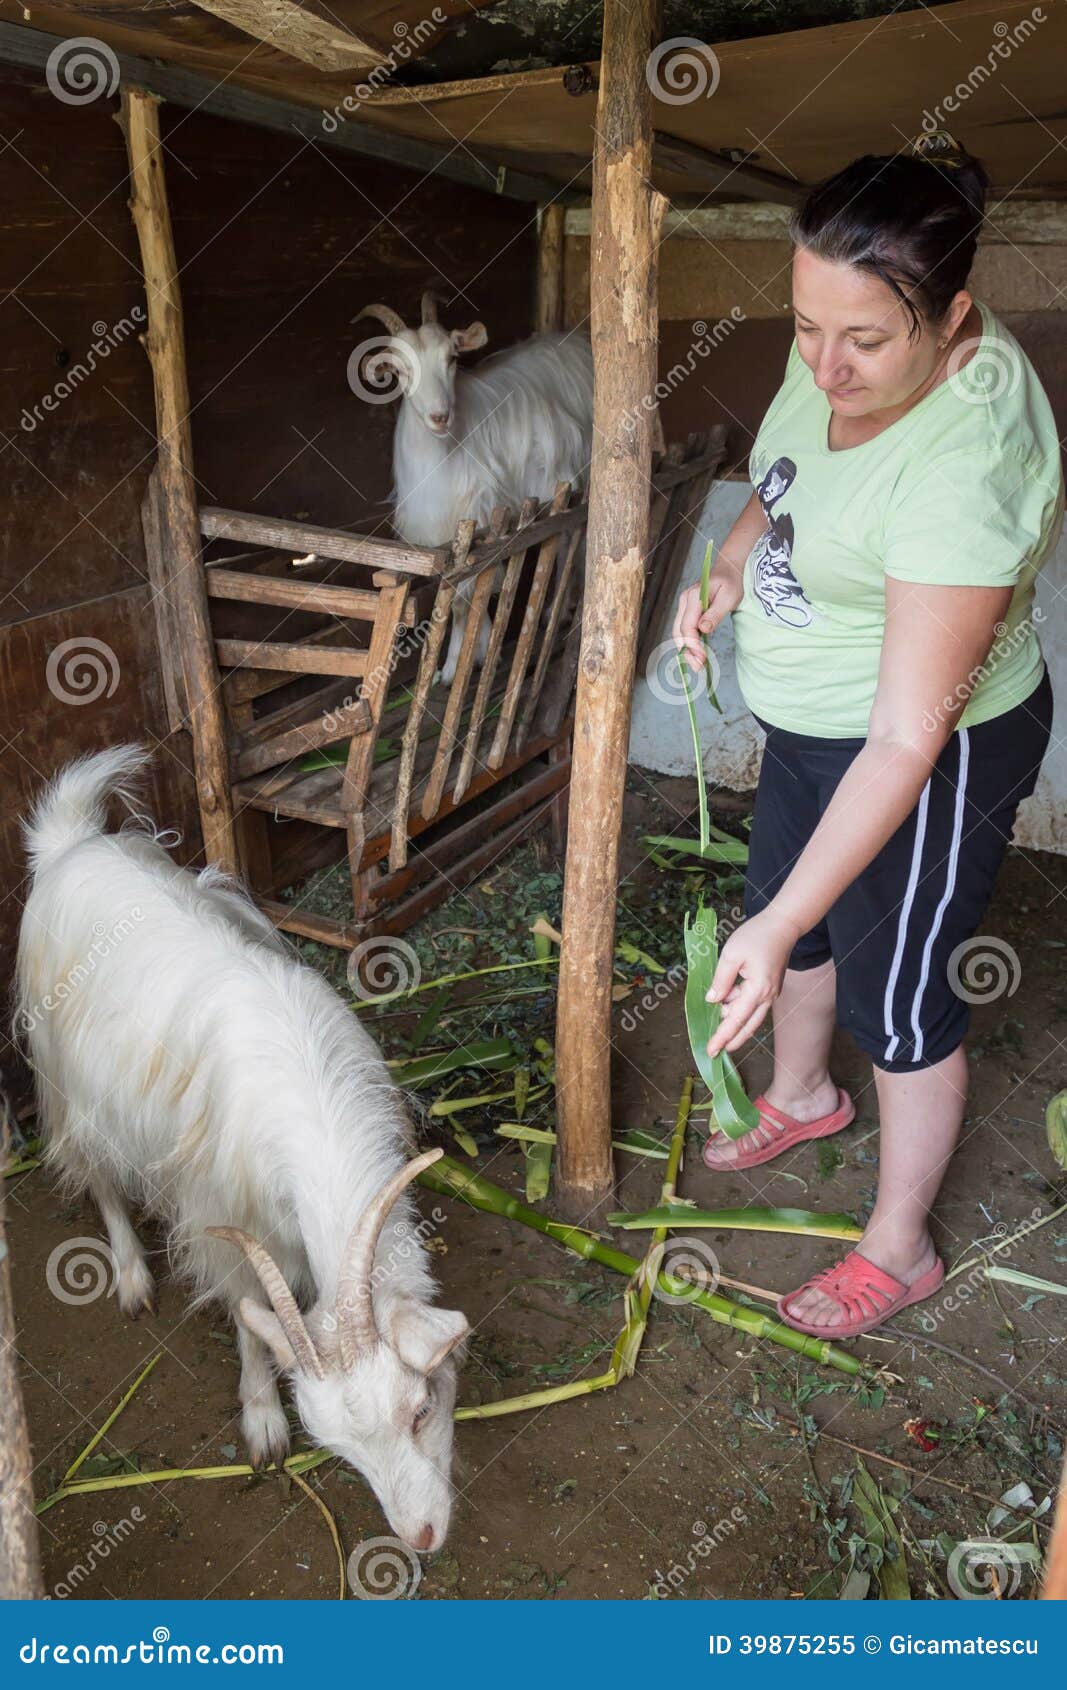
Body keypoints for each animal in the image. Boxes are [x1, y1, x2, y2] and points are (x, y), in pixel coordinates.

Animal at [14, 745, 468, 1552]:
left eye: (421, 1409)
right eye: (342, 1450)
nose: (420, 1538)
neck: (311, 1098)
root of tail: (70, 841)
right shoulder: (225, 1215)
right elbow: (249, 1314)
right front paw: (261, 1420)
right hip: (69, 1083)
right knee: (99, 1176)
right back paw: (129, 1271)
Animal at [354, 291, 593, 684]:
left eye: (452, 358)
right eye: (401, 370)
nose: (439, 417)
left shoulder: (478, 512)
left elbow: (463, 601)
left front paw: (454, 667)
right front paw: (480, 647)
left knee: (571, 540)